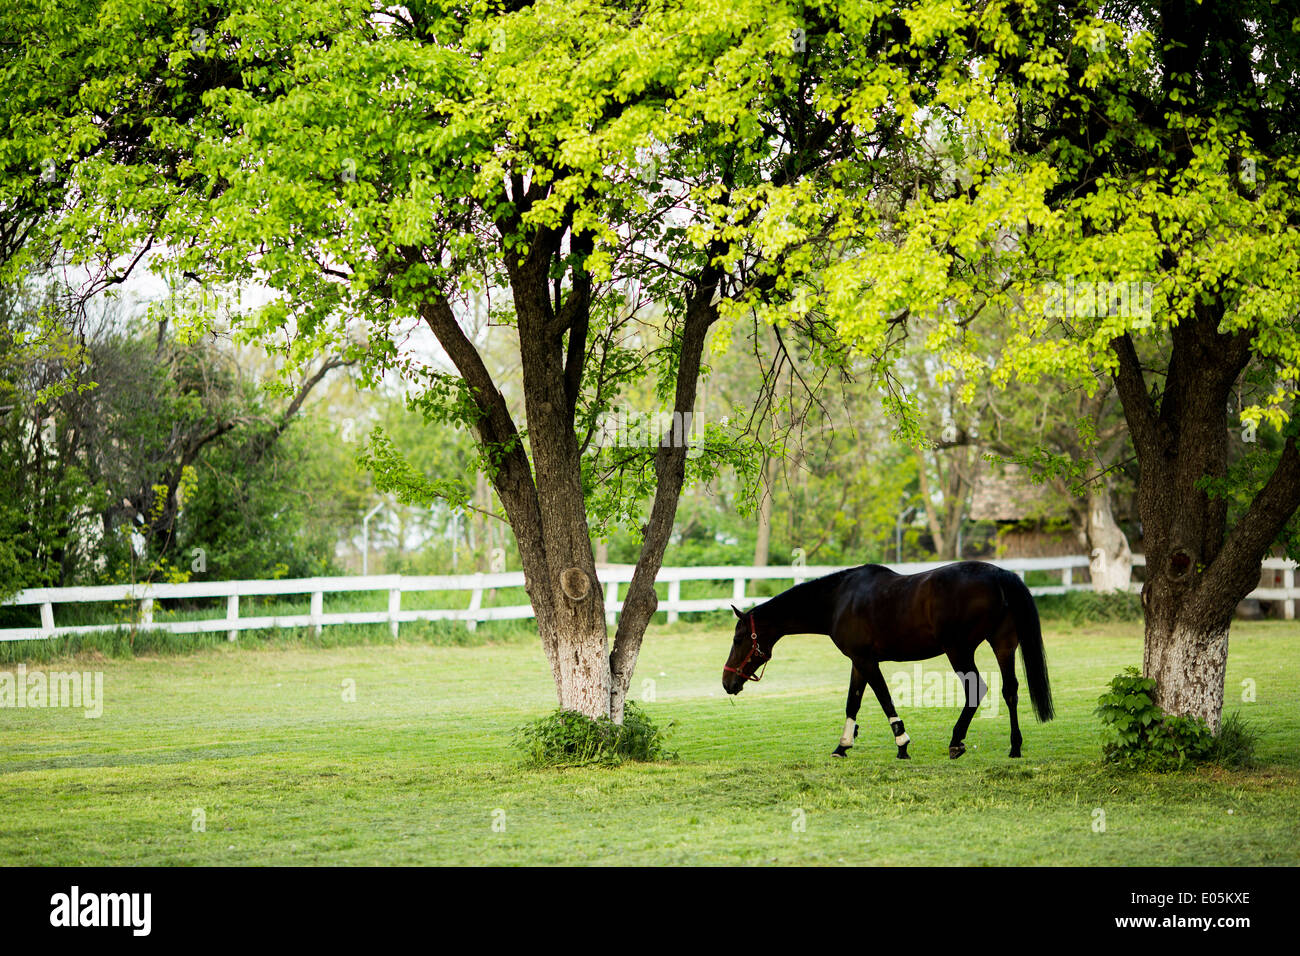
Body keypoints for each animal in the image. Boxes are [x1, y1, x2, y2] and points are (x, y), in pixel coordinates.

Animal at [721, 561, 1054, 759]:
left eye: (738, 639)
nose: (727, 682)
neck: (839, 600)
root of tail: (1000, 574)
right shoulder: (858, 662)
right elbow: (853, 702)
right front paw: (843, 745)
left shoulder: (867, 661)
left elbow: (883, 699)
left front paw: (902, 743)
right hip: (1003, 646)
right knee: (1010, 690)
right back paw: (1015, 746)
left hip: (959, 651)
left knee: (977, 690)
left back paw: (956, 741)